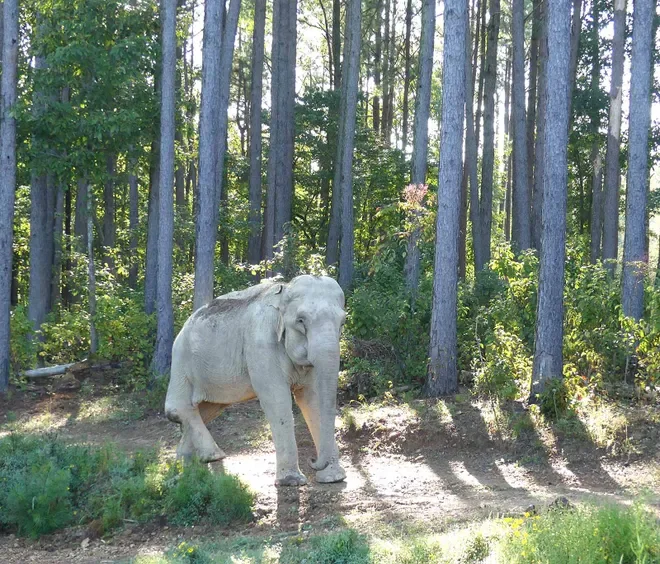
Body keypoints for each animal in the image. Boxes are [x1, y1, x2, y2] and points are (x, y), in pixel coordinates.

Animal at [164, 275, 347, 486]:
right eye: (301, 321)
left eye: (342, 322)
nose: (313, 461)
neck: (284, 291)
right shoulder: (261, 343)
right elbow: (277, 399)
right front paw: (292, 481)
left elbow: (312, 399)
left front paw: (333, 478)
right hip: (181, 359)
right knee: (177, 407)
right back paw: (213, 455)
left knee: (207, 409)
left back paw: (190, 465)